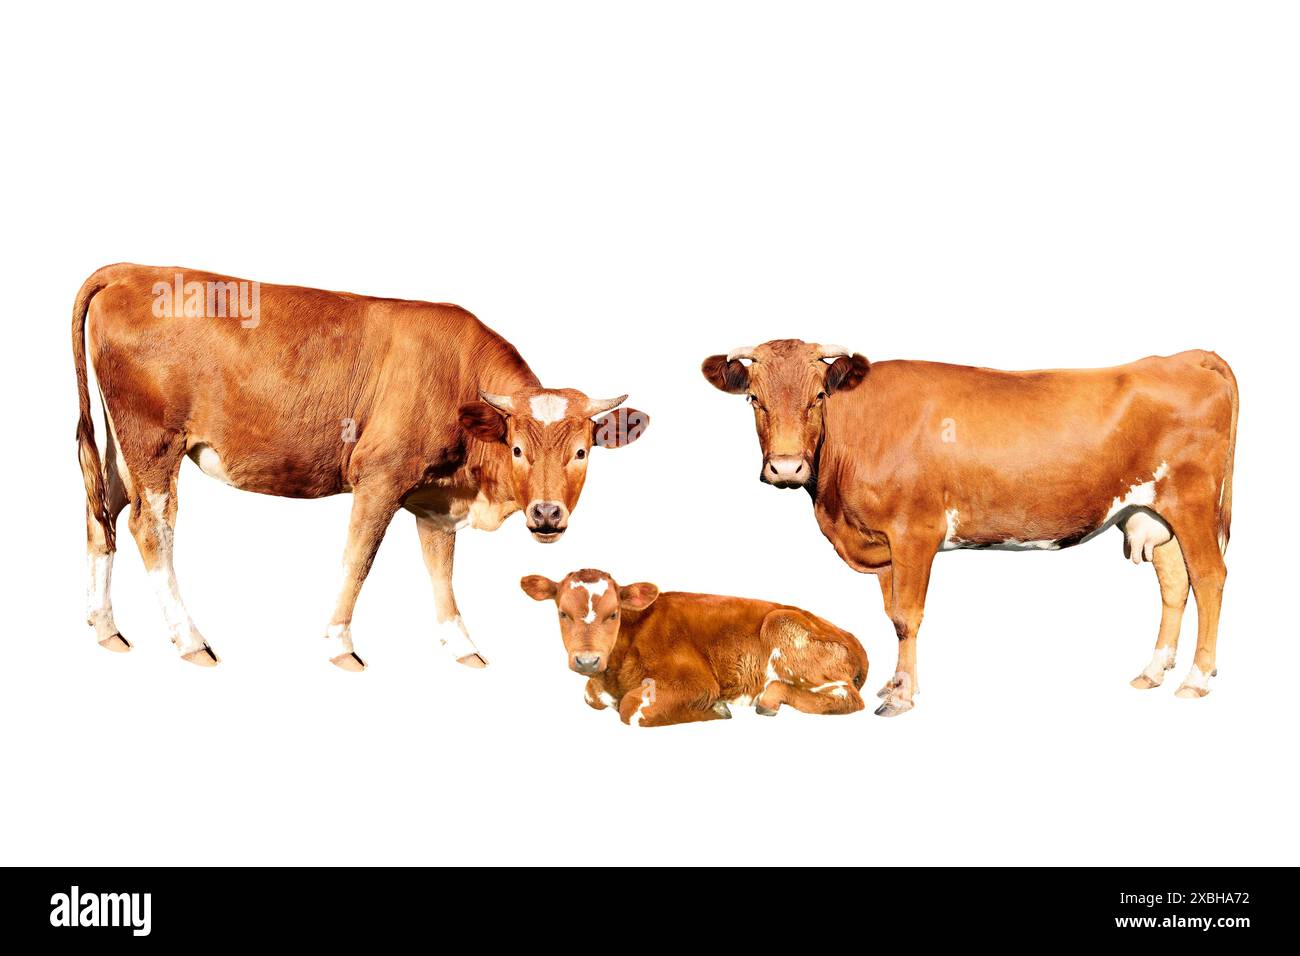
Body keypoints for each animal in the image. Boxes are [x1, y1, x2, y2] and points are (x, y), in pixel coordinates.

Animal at [73, 264, 649, 670]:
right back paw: (190, 640)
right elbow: (357, 560)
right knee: (151, 528)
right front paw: (339, 645)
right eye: (518, 449)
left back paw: (106, 630)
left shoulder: (435, 501)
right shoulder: (380, 477)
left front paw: (463, 646)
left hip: (121, 450)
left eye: (582, 452)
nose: (547, 514)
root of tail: (129, 270)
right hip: (153, 443)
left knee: (101, 517)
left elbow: (441, 571)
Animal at [519, 568, 869, 726]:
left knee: (848, 699)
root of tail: (851, 636)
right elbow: (591, 694)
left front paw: (715, 709)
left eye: (614, 613)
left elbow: (631, 708)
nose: (587, 661)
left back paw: (769, 699)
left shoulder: (694, 681)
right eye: (562, 612)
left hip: (781, 625)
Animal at [702, 340, 1237, 716]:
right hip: (1151, 511)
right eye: (754, 399)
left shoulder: (915, 531)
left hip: (1192, 502)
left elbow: (906, 617)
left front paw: (901, 697)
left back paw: (1197, 678)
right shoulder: (884, 546)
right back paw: (1153, 671)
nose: (786, 467)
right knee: (1174, 583)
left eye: (817, 396)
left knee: (1210, 577)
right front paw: (893, 683)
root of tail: (1187, 357)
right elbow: (891, 613)